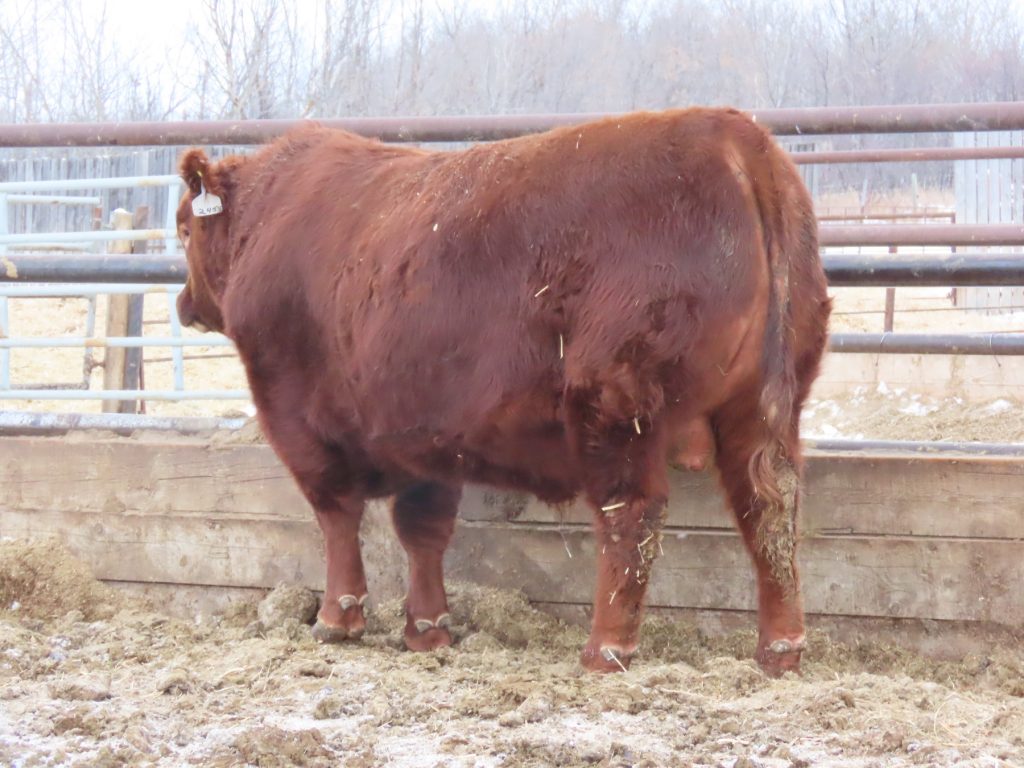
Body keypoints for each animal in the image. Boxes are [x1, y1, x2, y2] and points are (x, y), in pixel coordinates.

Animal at [175, 107, 830, 675]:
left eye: (183, 229)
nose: (183, 304)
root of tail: (734, 134)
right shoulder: (425, 434)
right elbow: (424, 528)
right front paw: (428, 628)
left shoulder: (298, 419)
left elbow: (337, 516)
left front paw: (337, 620)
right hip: (764, 408)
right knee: (768, 507)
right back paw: (780, 648)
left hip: (617, 406)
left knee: (631, 516)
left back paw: (606, 649)